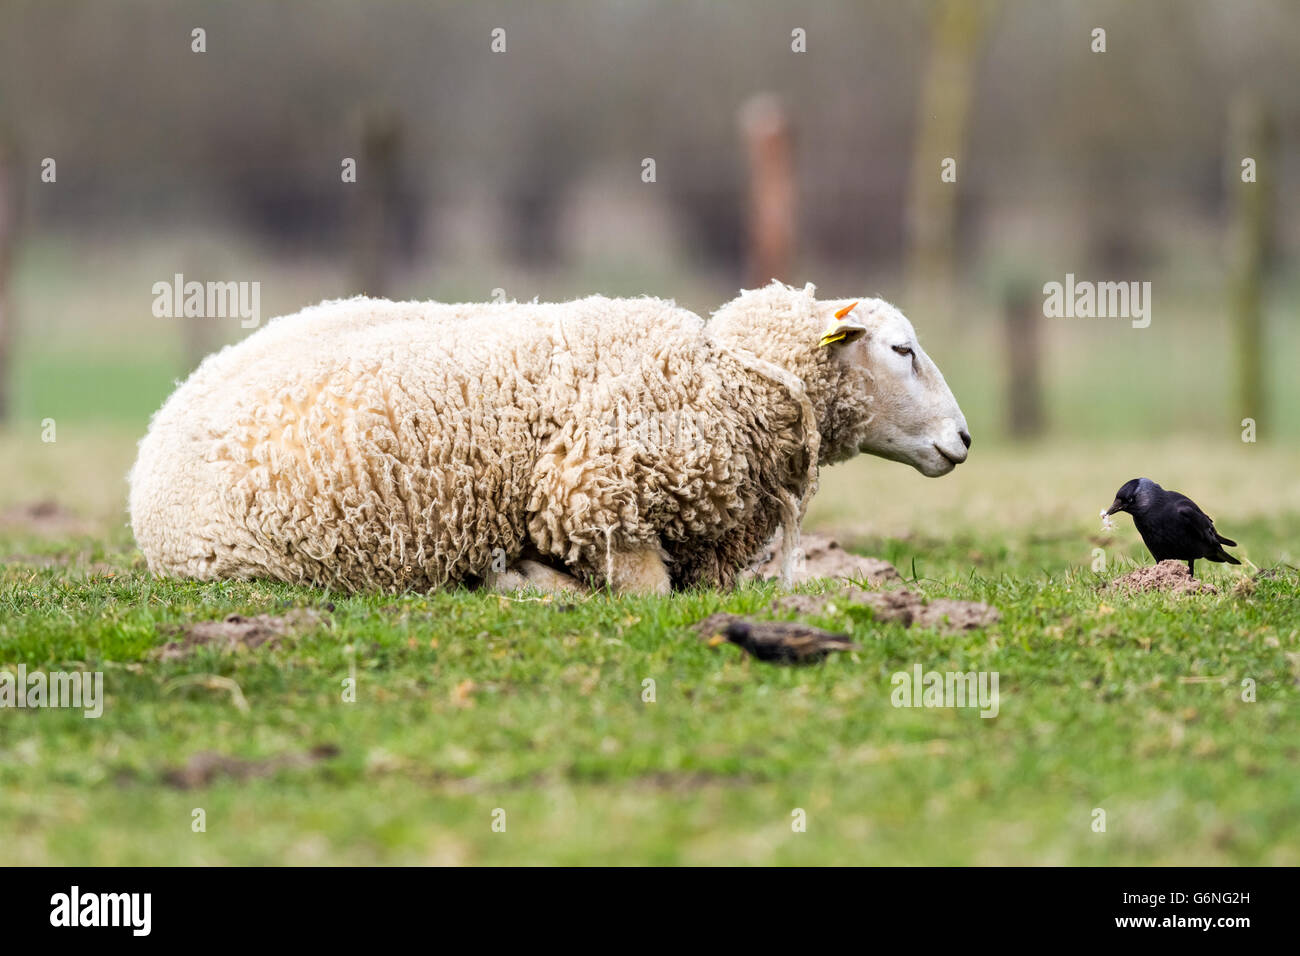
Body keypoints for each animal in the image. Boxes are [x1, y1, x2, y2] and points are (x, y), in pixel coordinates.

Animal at [128, 281, 969, 595]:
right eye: (902, 350)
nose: (963, 440)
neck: (723, 379)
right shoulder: (593, 502)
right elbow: (648, 594)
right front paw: (536, 580)